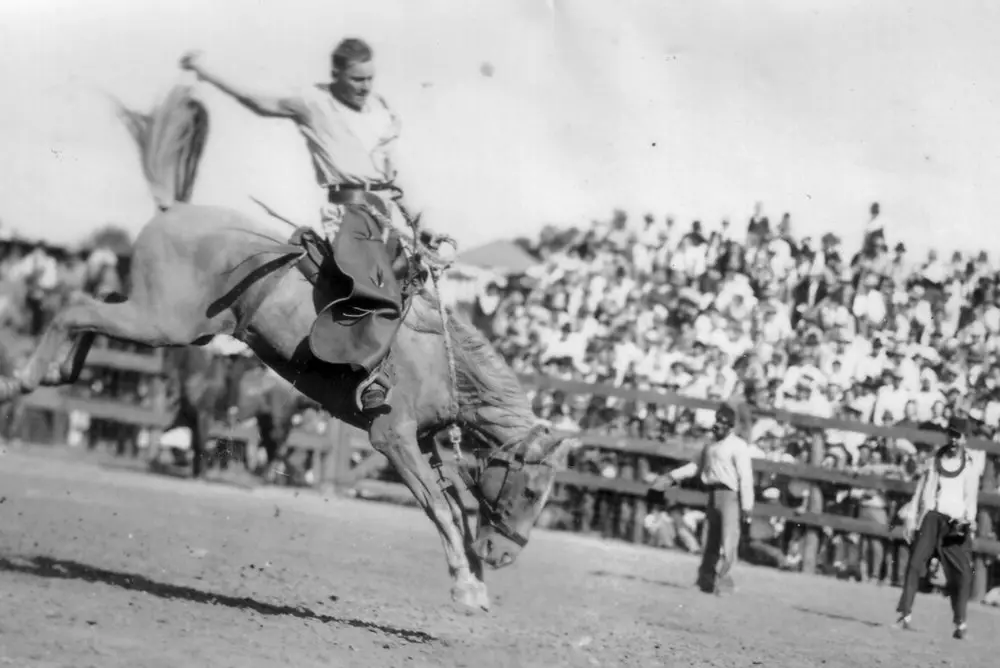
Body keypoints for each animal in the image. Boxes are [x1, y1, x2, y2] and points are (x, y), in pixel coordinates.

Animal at [0, 86, 580, 612]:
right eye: (532, 491)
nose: (504, 555)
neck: (444, 362)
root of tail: (175, 209)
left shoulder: (427, 442)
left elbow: (456, 507)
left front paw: (475, 582)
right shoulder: (391, 436)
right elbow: (440, 507)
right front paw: (466, 585)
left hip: (162, 318)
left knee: (92, 310)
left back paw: (56, 373)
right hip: (161, 321)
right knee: (74, 308)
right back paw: (23, 378)